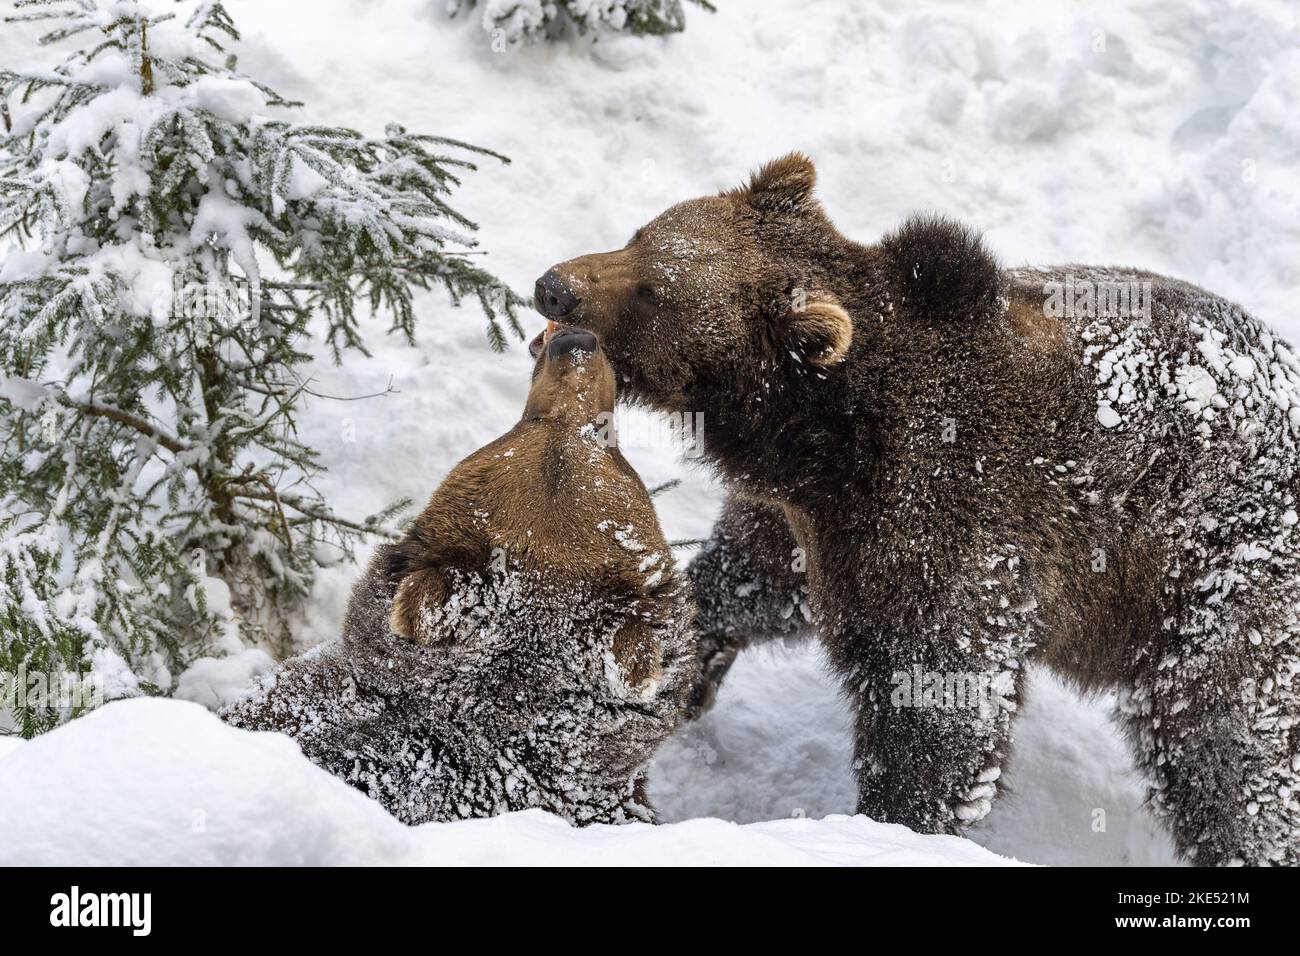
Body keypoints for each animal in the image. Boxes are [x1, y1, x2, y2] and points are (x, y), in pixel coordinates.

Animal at [532, 152, 1300, 864]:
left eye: (654, 293)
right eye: (641, 236)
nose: (554, 286)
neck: (823, 439)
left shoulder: (953, 523)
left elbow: (939, 705)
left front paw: (889, 821)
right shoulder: (808, 524)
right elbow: (746, 581)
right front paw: (674, 658)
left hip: (1224, 582)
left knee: (1226, 743)